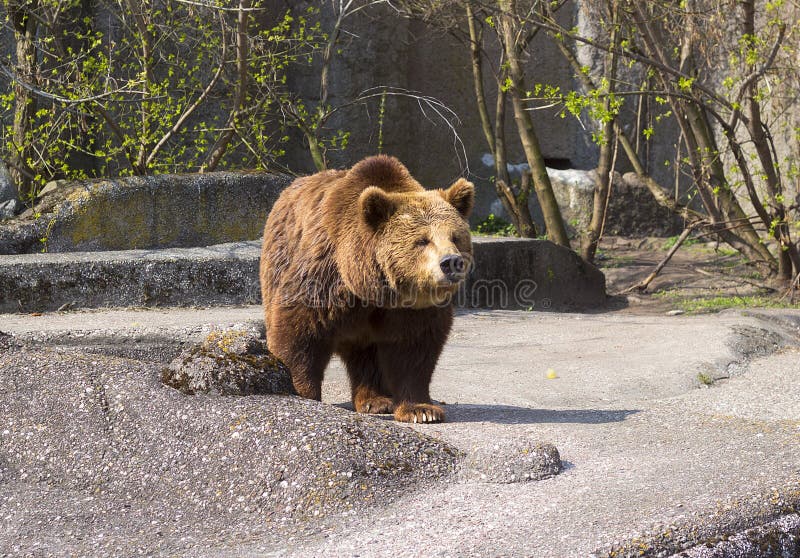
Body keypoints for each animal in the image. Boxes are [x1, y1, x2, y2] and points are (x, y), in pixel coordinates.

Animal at [259, 155, 474, 423]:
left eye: (455, 237)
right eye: (422, 240)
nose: (451, 262)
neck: (373, 289)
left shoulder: (413, 308)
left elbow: (414, 351)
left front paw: (422, 410)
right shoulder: (325, 277)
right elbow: (299, 330)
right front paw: (301, 393)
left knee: (365, 354)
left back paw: (376, 401)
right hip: (278, 259)